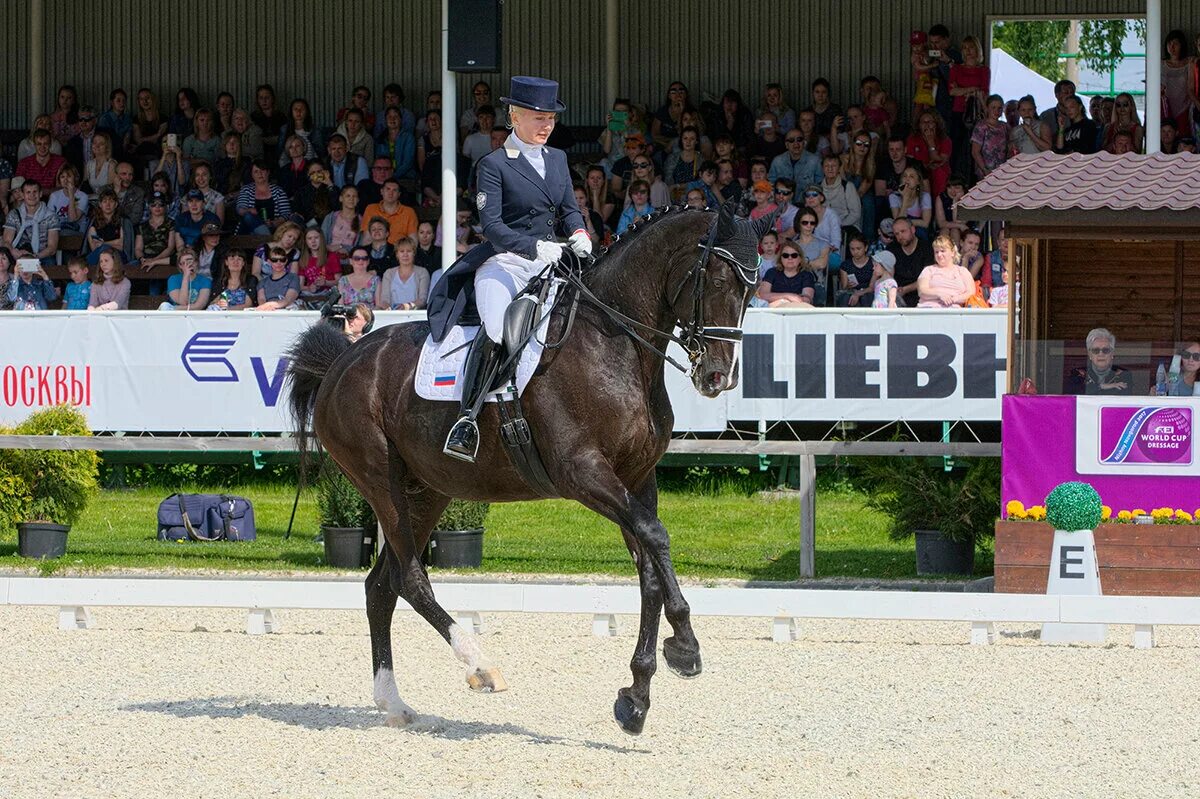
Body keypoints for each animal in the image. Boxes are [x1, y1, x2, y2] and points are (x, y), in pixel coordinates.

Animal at [286, 202, 772, 729]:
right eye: (716, 279)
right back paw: (480, 665)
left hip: (429, 489)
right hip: (381, 481)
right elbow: (656, 539)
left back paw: (394, 703)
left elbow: (649, 569)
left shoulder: (636, 479)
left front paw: (636, 696)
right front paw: (684, 646)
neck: (616, 346)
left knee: (381, 586)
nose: (718, 378)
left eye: (752, 289)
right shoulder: (582, 472)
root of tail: (342, 361)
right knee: (408, 578)